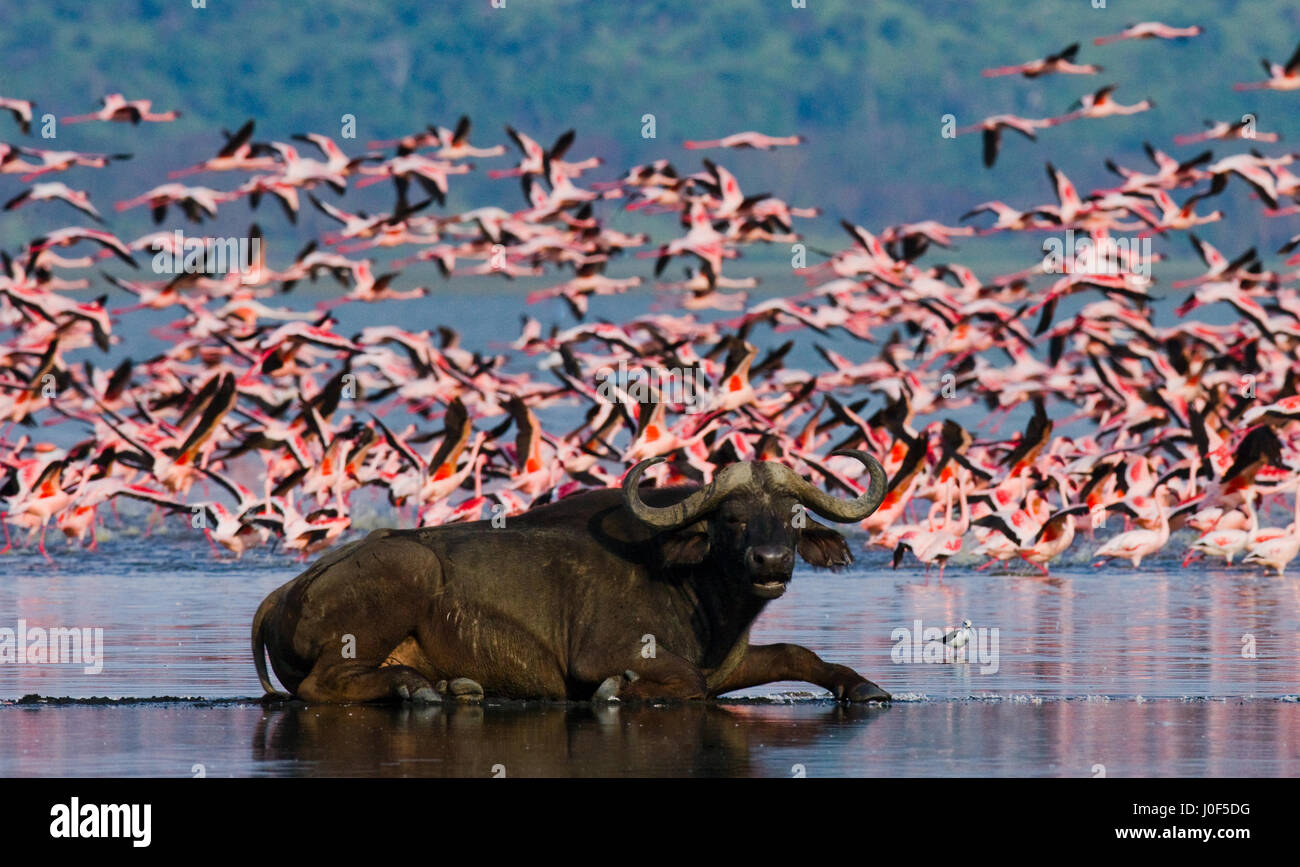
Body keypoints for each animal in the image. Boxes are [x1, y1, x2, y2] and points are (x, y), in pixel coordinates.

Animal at [252, 450, 891, 703]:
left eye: (793, 518)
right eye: (731, 519)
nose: (770, 562)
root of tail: (284, 592)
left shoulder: (731, 661)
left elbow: (797, 654)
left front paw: (864, 686)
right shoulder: (602, 654)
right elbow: (685, 681)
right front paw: (621, 691)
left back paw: (451, 688)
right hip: (407, 572)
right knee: (321, 685)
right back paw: (420, 691)